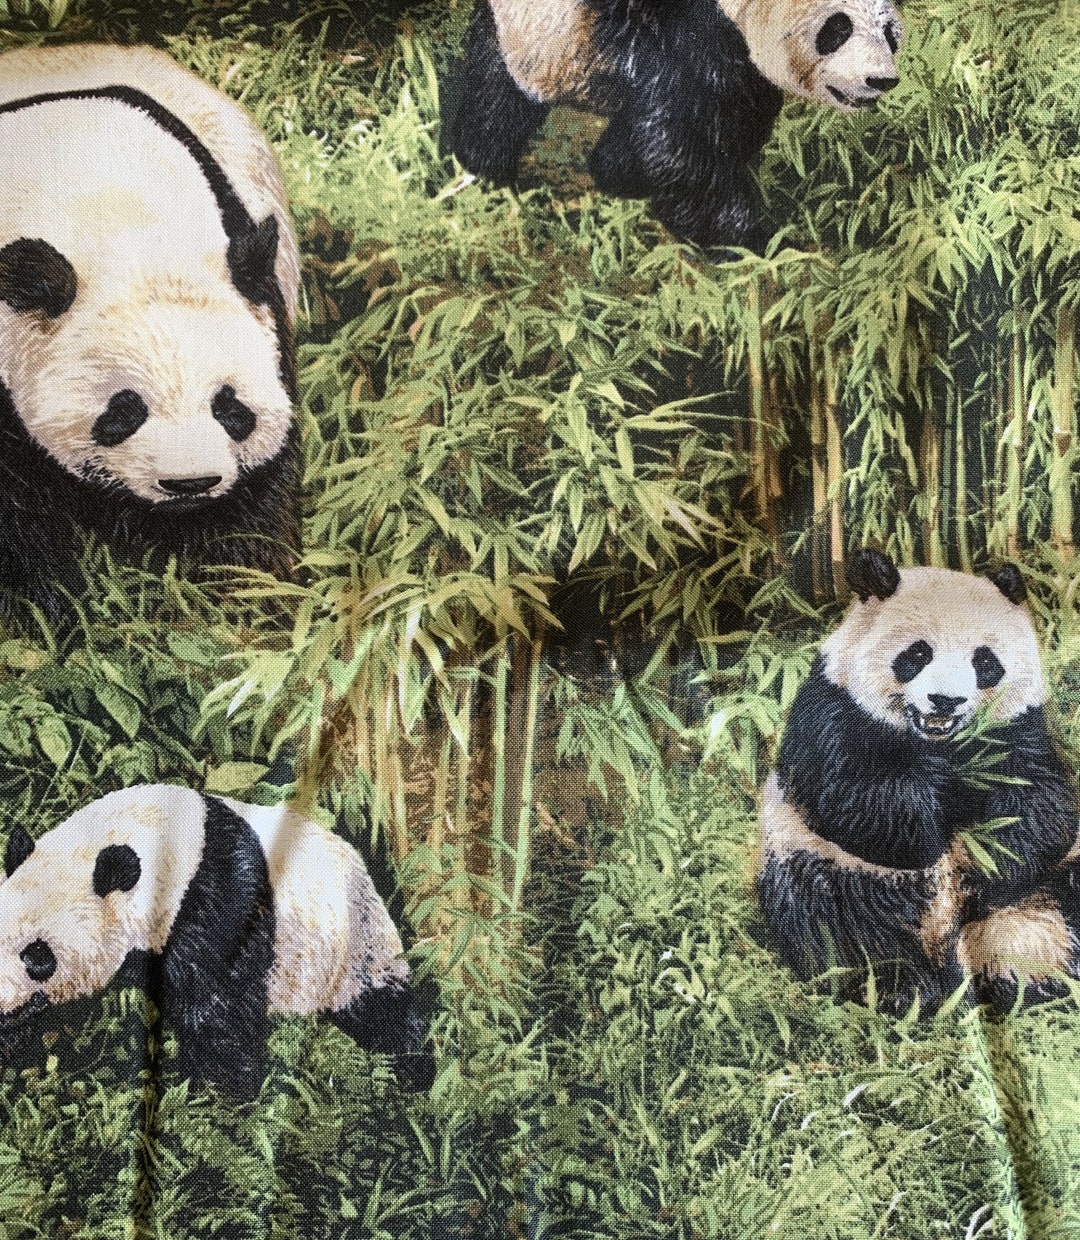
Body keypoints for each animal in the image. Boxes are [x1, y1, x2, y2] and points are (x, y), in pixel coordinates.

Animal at [0, 785, 434, 1098]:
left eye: (38, 955)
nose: (2, 1004)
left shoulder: (216, 901)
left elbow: (217, 1008)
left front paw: (215, 1094)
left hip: (354, 941)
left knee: (381, 1006)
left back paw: (413, 1070)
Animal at [449, 0, 903, 250]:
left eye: (889, 33)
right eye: (838, 28)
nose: (881, 80)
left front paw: (617, 173)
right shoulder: (684, 35)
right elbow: (681, 146)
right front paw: (751, 239)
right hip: (531, 36)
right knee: (496, 96)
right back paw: (488, 168)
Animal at [758, 549, 1080, 1016]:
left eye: (984, 661)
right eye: (918, 653)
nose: (946, 700)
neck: (939, 740)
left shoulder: (1022, 728)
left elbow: (1043, 807)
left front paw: (986, 861)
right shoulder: (832, 713)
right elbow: (860, 802)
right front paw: (932, 803)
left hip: (1045, 893)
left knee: (1052, 914)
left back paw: (1029, 981)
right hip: (822, 861)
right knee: (836, 921)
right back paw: (905, 990)